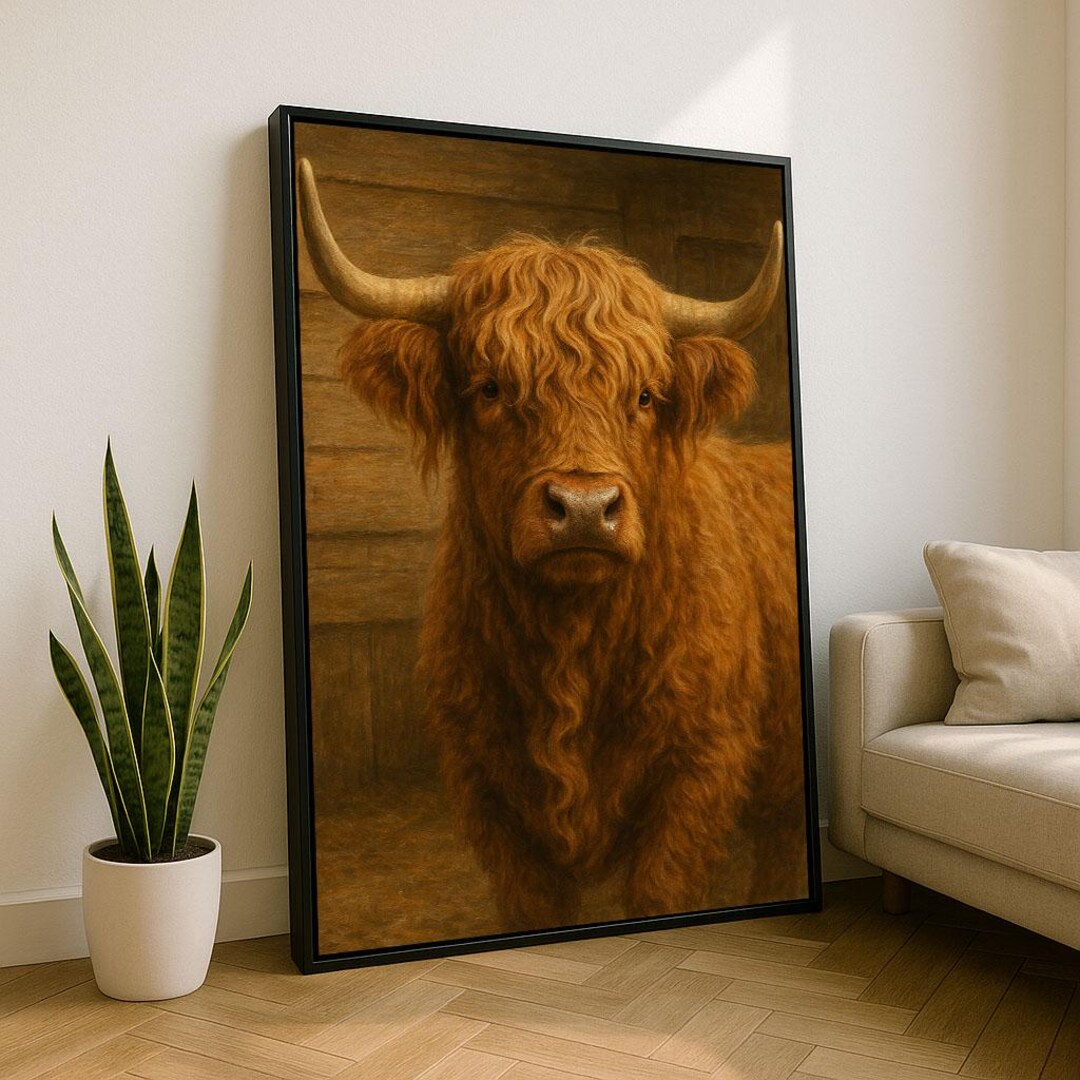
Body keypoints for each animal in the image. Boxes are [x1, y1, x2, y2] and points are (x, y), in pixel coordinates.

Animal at [298, 158, 806, 931]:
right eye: (489, 387)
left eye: (645, 396)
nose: (585, 511)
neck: (573, 646)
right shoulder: (486, 787)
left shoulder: (700, 768)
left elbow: (661, 893)